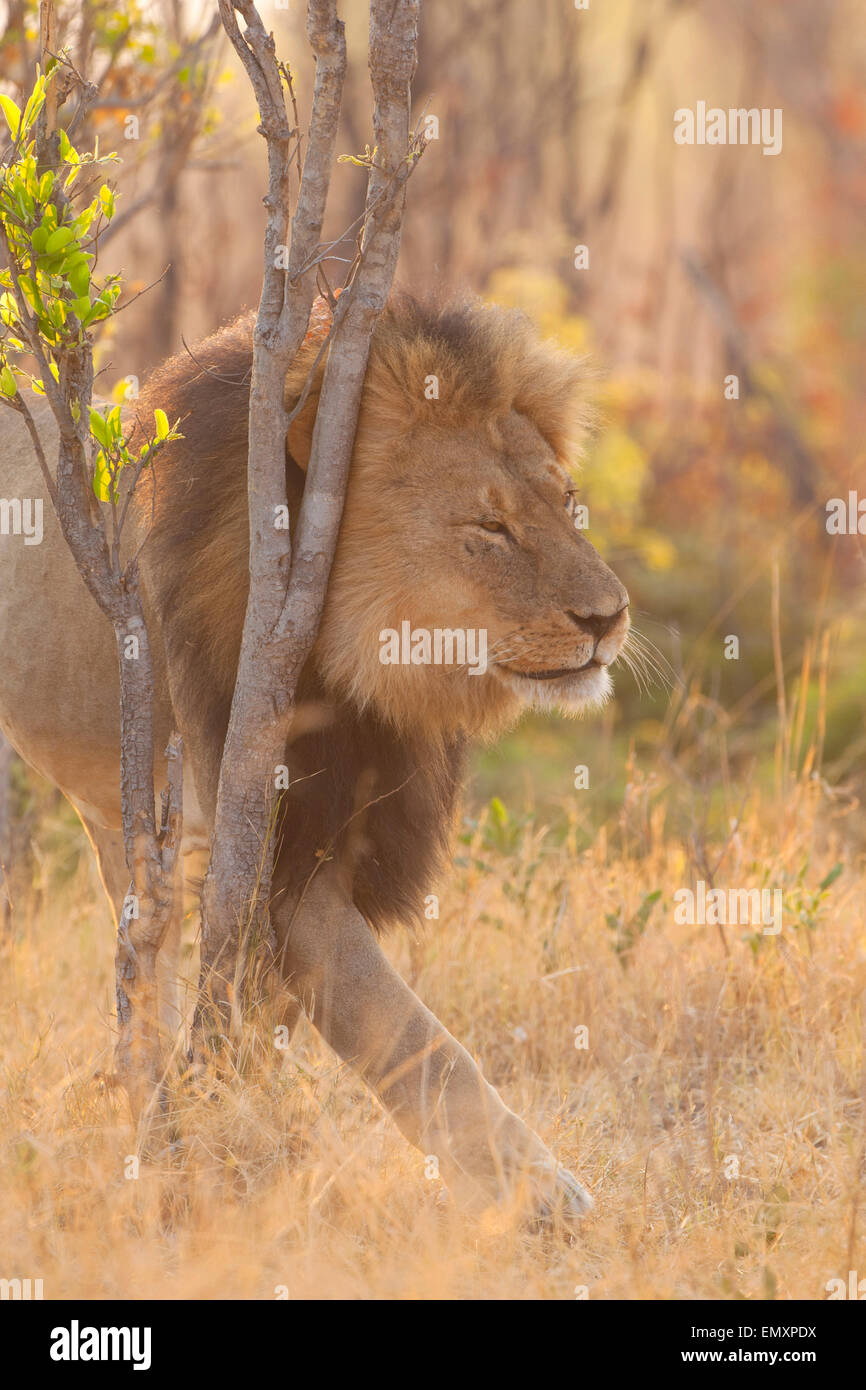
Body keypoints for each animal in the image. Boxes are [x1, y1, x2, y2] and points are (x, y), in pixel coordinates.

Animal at [0, 294, 629, 1224]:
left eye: (569, 502)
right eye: (489, 527)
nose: (609, 617)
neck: (367, 674)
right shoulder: (275, 847)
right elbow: (414, 1036)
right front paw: (546, 1200)